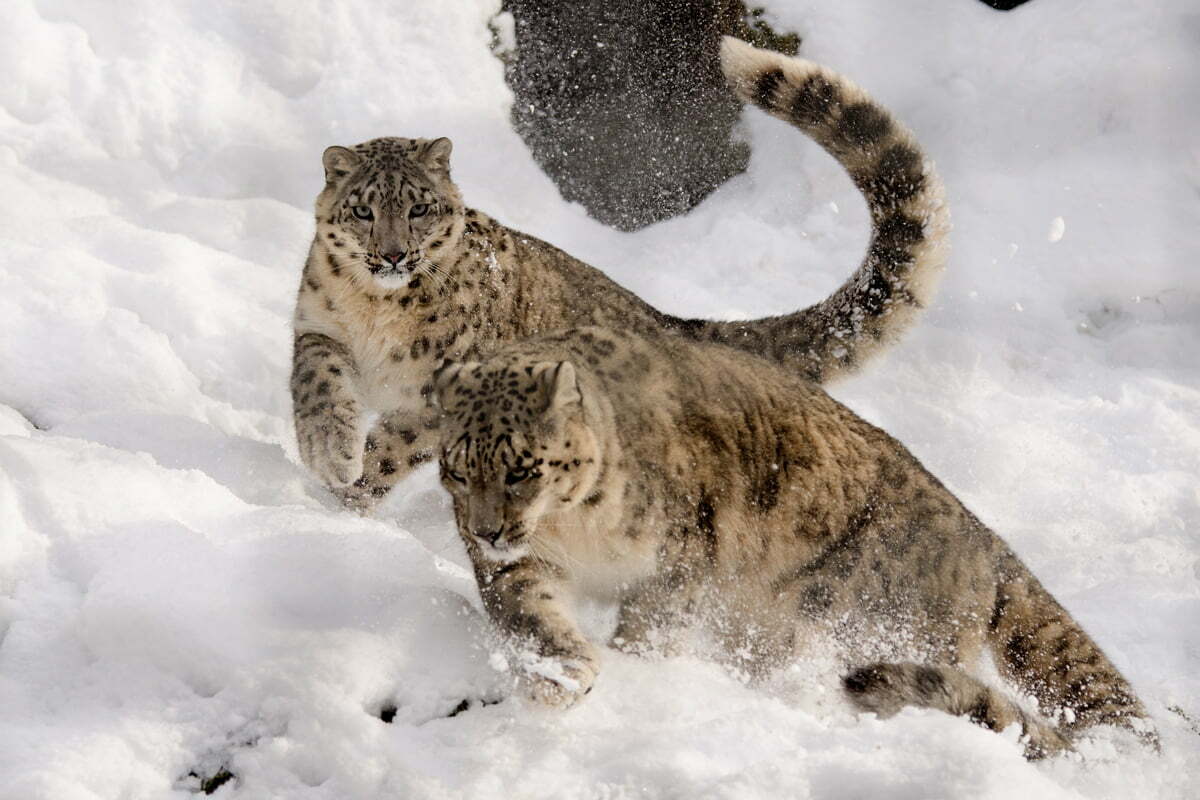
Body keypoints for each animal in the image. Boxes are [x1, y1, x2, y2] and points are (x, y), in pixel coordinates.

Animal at [290, 36, 949, 514]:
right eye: (364, 210)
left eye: (419, 208)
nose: (393, 255)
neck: (378, 314)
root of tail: (668, 320)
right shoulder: (318, 326)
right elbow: (316, 383)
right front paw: (329, 452)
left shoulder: (443, 387)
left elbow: (394, 447)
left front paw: (347, 493)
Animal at [430, 320, 1157, 759]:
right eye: (458, 469)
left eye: (522, 468)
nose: (489, 530)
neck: (575, 529)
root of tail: (983, 537)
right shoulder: (522, 566)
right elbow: (532, 613)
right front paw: (563, 676)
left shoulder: (679, 559)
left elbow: (653, 625)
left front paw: (635, 668)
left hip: (858, 622)